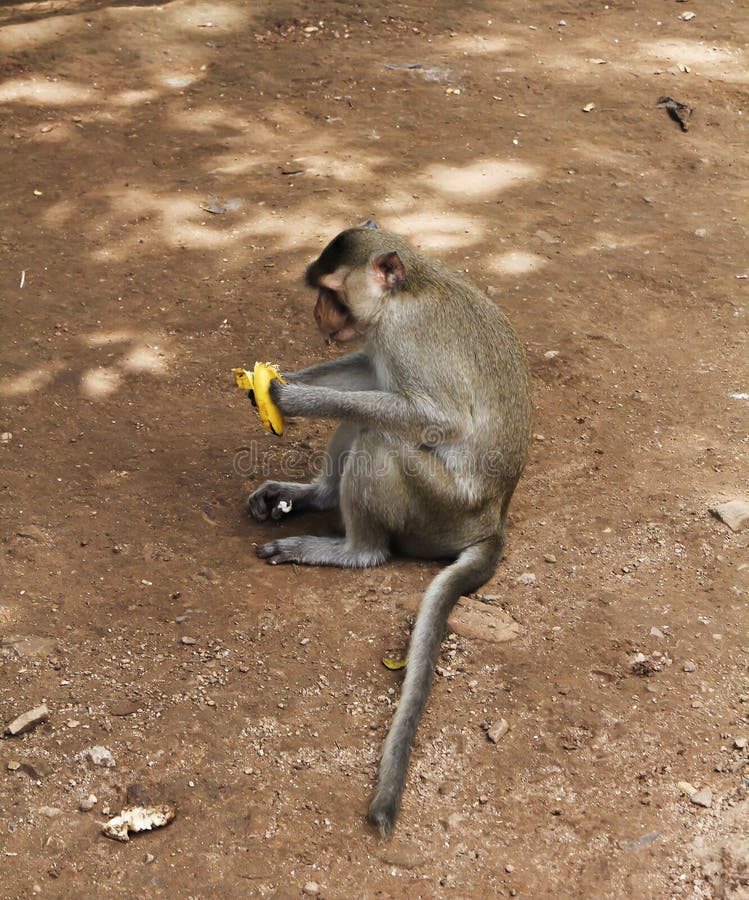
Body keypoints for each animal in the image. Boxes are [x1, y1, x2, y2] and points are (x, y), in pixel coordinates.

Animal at [247, 224, 532, 836]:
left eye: (331, 292)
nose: (316, 314)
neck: (405, 294)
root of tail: (493, 518)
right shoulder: (376, 340)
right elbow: (362, 368)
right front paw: (281, 378)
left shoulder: (404, 341)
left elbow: (437, 418)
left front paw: (291, 396)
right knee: (363, 414)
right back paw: (313, 496)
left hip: (437, 508)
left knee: (381, 434)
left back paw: (355, 551)